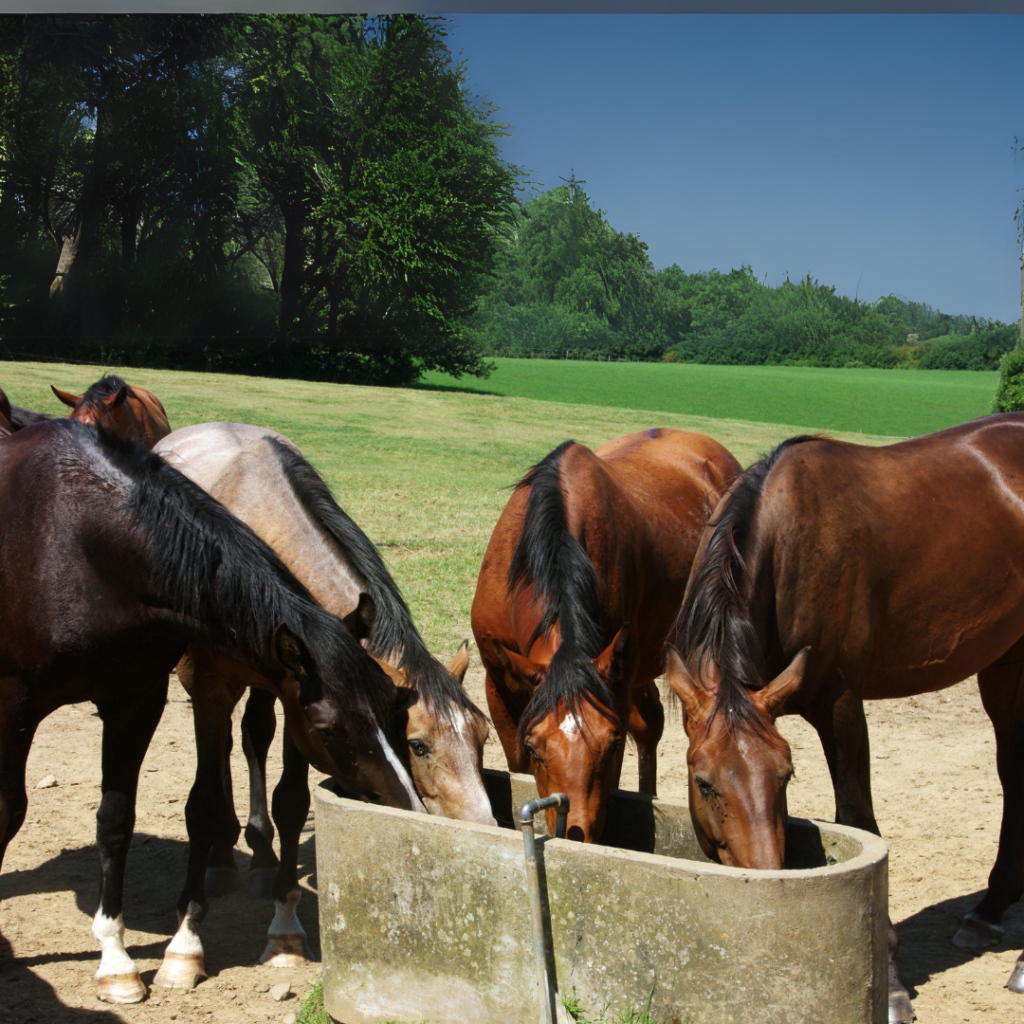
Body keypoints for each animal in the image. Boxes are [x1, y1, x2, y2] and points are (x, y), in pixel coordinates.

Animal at [0, 419, 424, 1005]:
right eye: (330, 728)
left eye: (392, 709)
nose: (408, 808)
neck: (82, 545)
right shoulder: (16, 703)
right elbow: (10, 813)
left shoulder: (138, 699)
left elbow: (119, 819)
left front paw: (119, 961)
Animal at [152, 421, 492, 985]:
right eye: (417, 744)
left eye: (483, 738)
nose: (484, 828)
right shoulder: (210, 687)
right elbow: (201, 799)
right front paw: (186, 945)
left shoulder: (302, 705)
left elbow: (291, 802)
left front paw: (284, 928)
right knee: (222, 751)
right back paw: (222, 855)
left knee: (254, 737)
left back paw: (260, 856)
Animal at [666, 415, 1024, 1023]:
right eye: (704, 782)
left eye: (785, 775)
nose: (766, 881)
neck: (788, 544)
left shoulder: (840, 705)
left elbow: (858, 817)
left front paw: (893, 981)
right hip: (1004, 661)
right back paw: (991, 908)